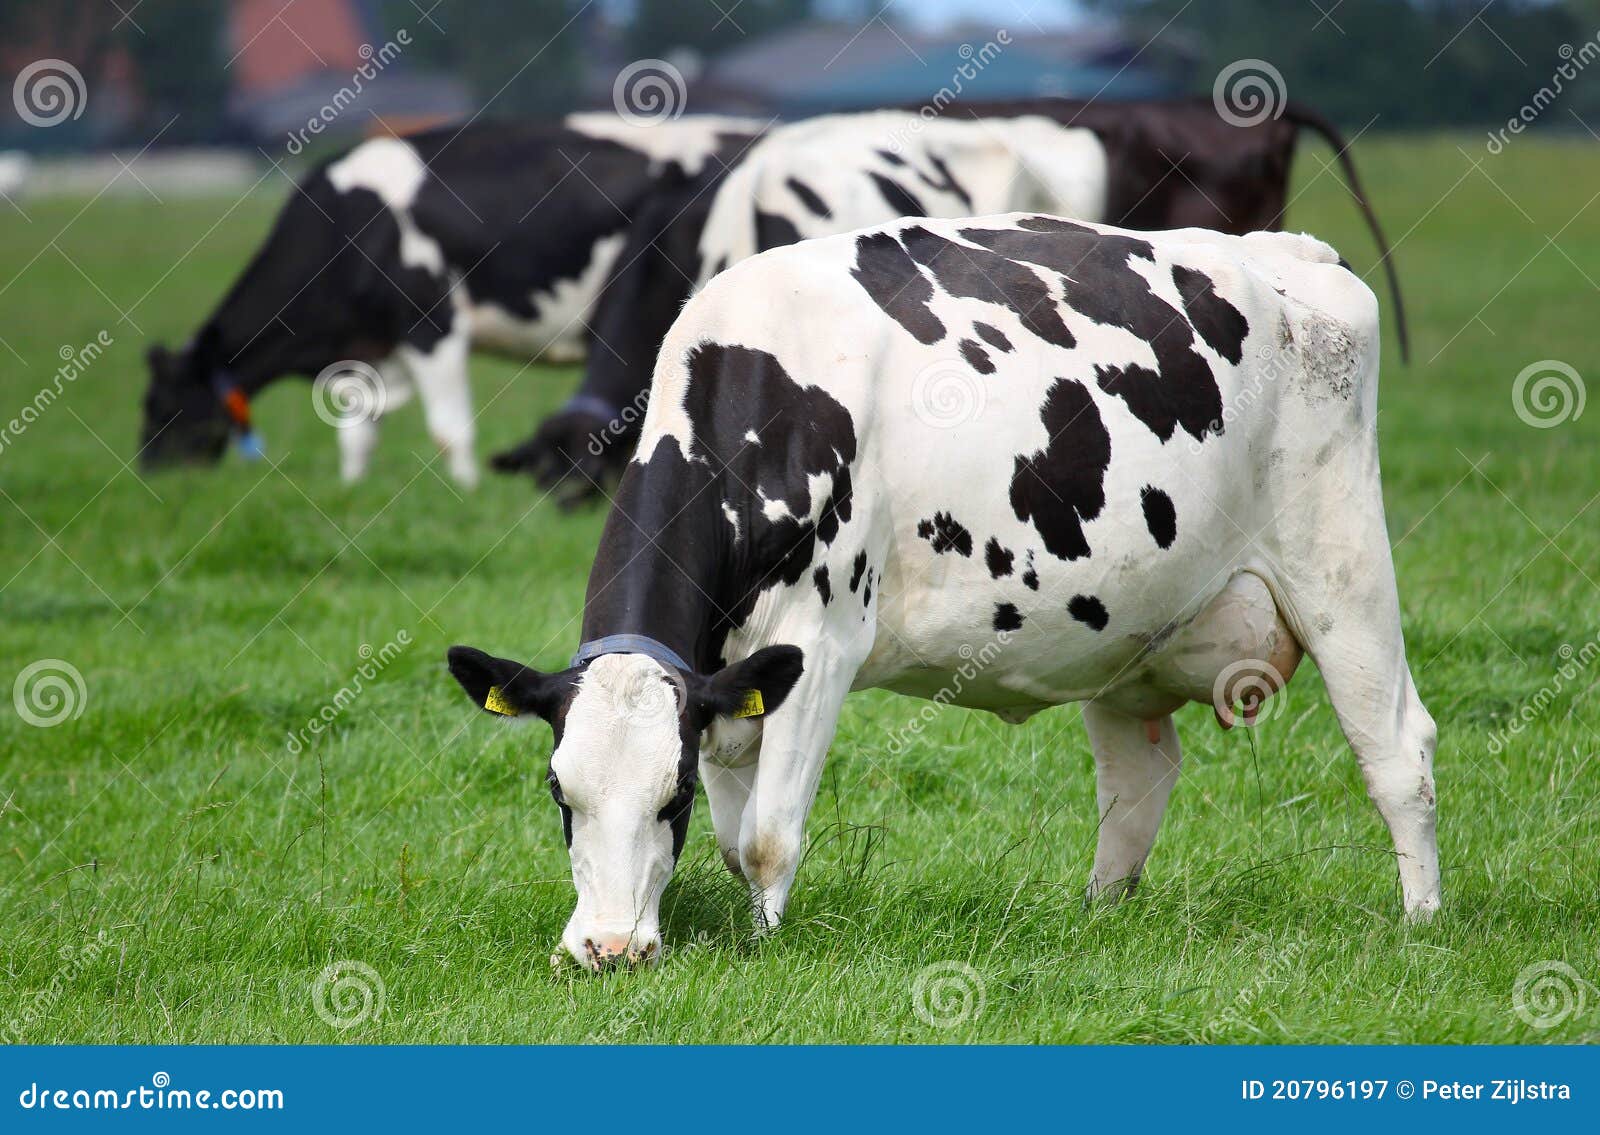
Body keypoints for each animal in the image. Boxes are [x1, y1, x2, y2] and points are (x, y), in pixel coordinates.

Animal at [138, 113, 763, 486]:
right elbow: (357, 437)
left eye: (162, 405)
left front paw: (467, 493)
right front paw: (352, 492)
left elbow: (449, 430)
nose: (149, 473)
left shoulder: (431, 324)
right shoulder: (364, 355)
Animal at [447, 212, 1440, 969]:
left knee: (1398, 750)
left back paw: (1420, 924)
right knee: (1139, 781)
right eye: (559, 791)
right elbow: (734, 842)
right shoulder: (728, 680)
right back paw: (1099, 916)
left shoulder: (821, 644)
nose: (609, 948)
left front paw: (764, 951)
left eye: (671, 794)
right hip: (1132, 626)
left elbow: (768, 837)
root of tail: (1289, 253)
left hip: (1341, 560)